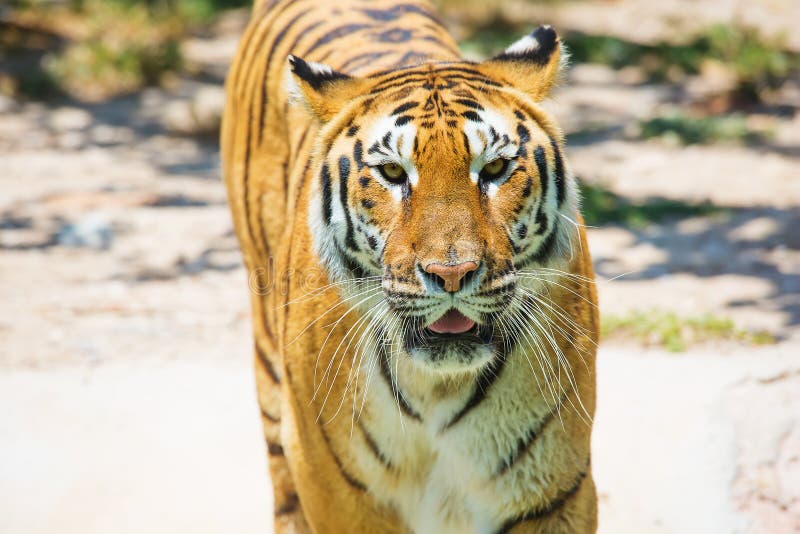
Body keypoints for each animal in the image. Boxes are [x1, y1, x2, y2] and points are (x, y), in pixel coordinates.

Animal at [221, 0, 599, 532]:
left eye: (495, 169)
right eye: (393, 173)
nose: (452, 274)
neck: (436, 390)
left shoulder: (552, 493)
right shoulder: (340, 493)